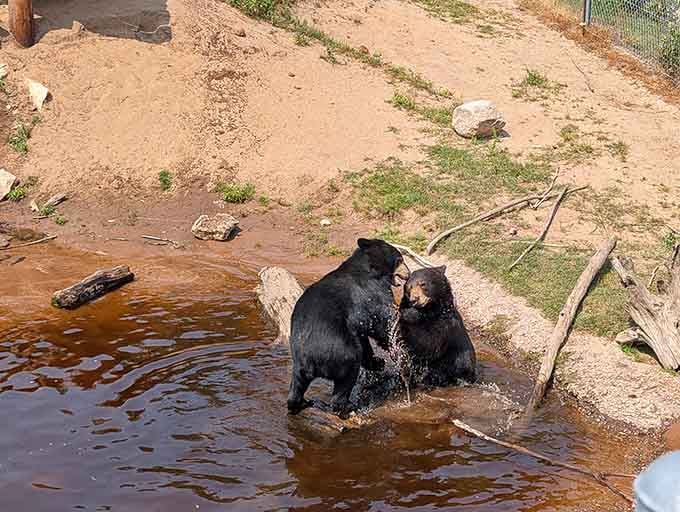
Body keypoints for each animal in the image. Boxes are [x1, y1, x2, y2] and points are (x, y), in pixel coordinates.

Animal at [287, 238, 410, 418]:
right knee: (347, 377)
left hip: (298, 365)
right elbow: (383, 323)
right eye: (400, 259)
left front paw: (378, 362)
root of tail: (310, 361)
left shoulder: (357, 323)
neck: (370, 268)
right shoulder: (371, 294)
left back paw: (300, 403)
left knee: (296, 386)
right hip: (343, 353)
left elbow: (365, 337)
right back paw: (347, 407)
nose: (408, 274)